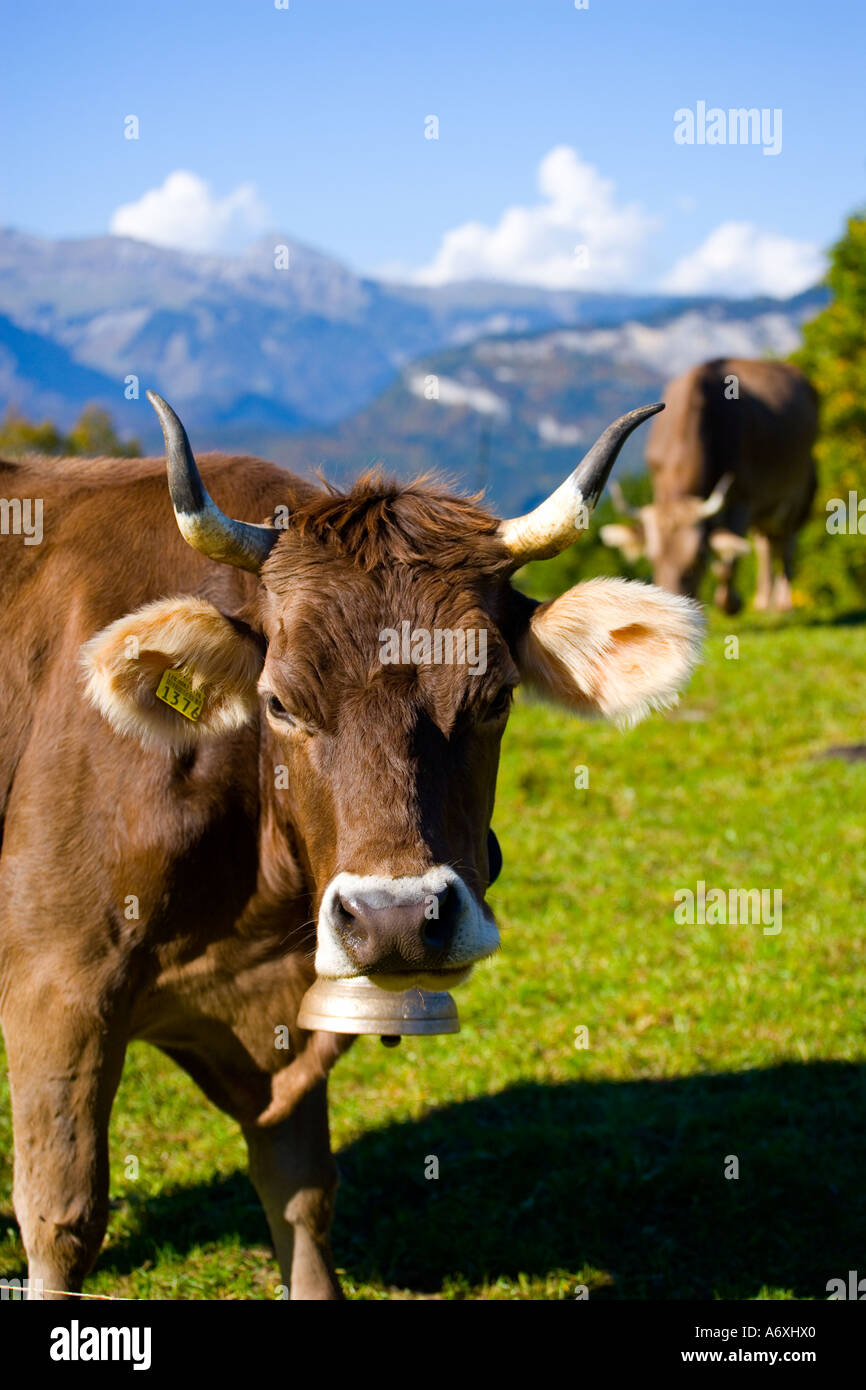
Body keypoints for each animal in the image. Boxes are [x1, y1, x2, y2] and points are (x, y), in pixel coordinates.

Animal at [0, 393, 702, 1300]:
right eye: (280, 702)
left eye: (495, 696)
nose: (397, 919)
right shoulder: (57, 980)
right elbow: (62, 1215)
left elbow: (301, 1193)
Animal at [600, 358, 818, 613]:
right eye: (652, 558)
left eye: (698, 558)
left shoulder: (742, 500)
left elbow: (727, 564)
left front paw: (732, 603)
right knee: (766, 545)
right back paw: (763, 602)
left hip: (799, 493)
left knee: (786, 546)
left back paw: (784, 603)